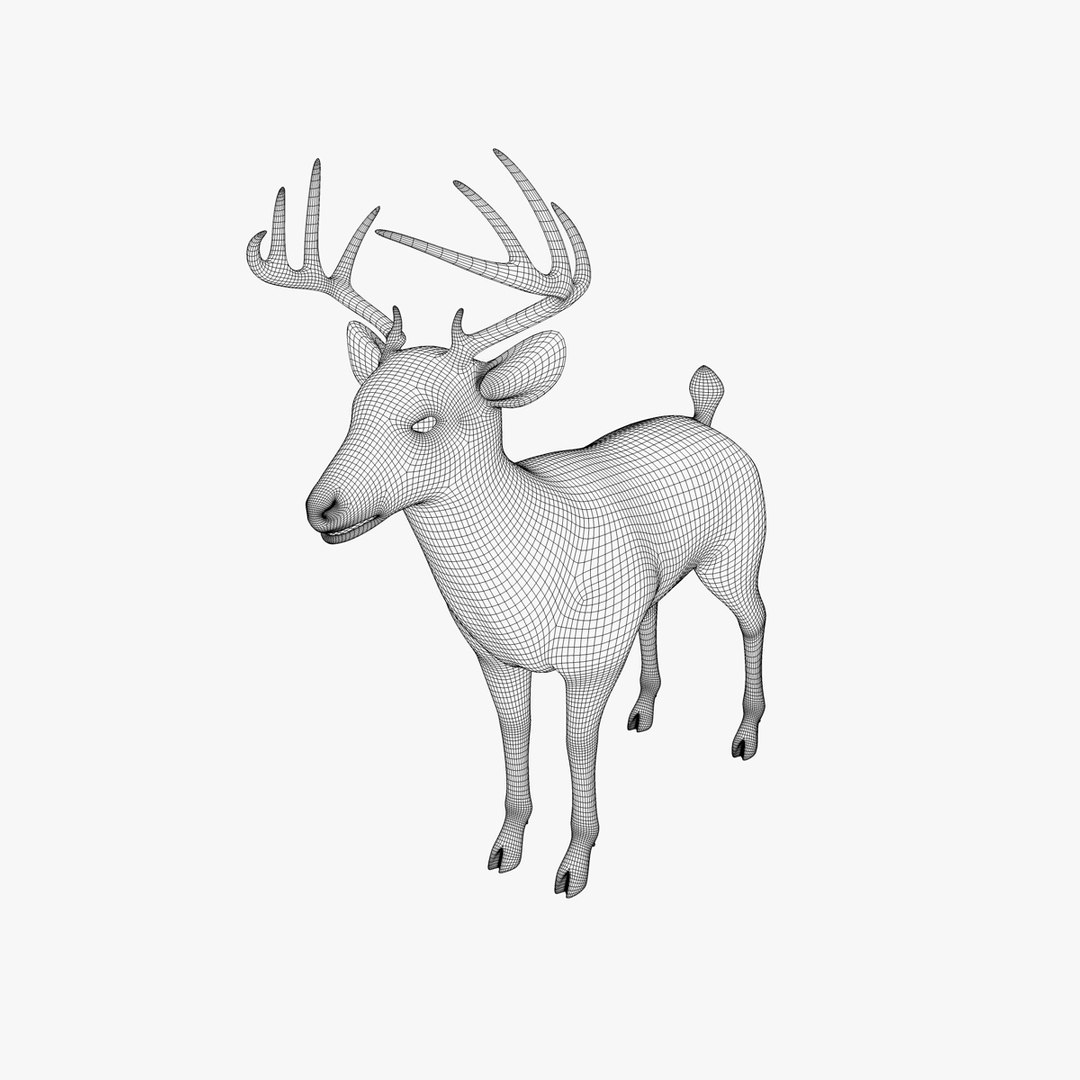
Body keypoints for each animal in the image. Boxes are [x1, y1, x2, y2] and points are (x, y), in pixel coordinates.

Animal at [246, 151, 767, 898]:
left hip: (737, 555)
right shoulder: (494, 657)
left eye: (425, 420)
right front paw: (504, 847)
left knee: (755, 618)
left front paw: (573, 867)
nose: (321, 507)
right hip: (647, 586)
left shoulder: (587, 662)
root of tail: (705, 416)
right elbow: (513, 736)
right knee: (653, 613)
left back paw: (747, 734)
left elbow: (577, 745)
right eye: (353, 408)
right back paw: (645, 709)